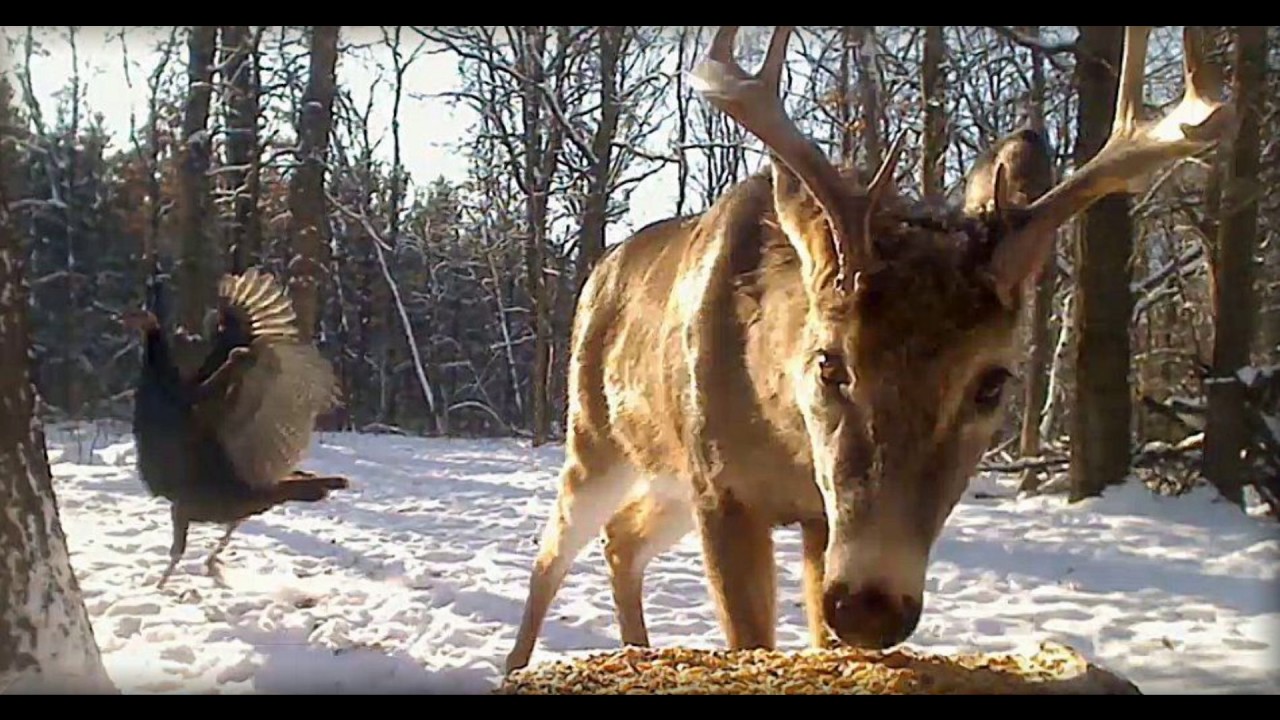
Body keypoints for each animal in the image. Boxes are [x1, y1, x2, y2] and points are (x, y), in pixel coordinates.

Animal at [503, 25, 1235, 674]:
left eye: (993, 381)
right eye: (830, 360)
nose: (872, 605)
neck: (784, 439)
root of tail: (601, 269)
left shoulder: (807, 515)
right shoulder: (724, 489)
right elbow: (751, 639)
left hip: (669, 475)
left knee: (623, 539)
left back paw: (639, 652)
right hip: (598, 438)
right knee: (552, 548)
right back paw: (516, 664)